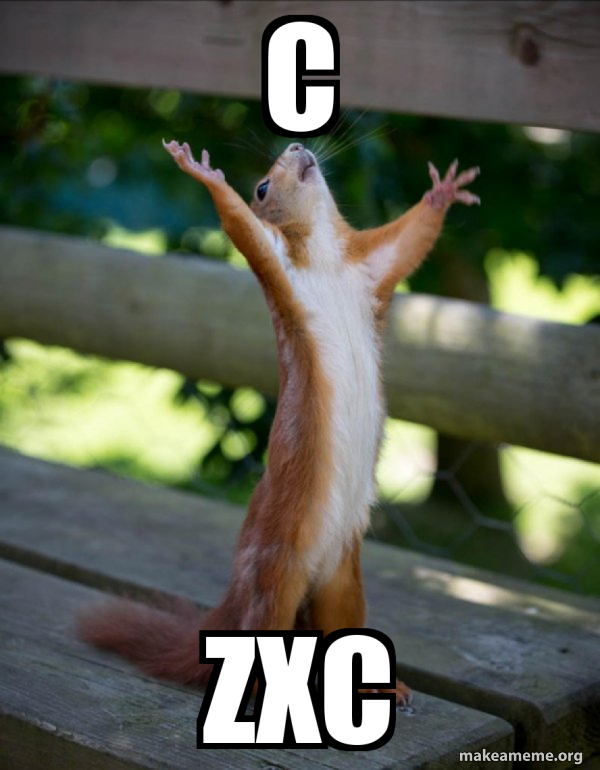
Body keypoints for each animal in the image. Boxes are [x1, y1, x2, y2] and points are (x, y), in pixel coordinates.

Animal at [77, 139, 480, 707]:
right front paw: (203, 173)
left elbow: (410, 239)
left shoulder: (372, 267)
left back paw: (383, 685)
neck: (327, 260)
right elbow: (240, 226)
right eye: (262, 187)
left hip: (344, 586)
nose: (295, 144)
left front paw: (443, 191)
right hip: (274, 576)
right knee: (263, 632)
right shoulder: (278, 265)